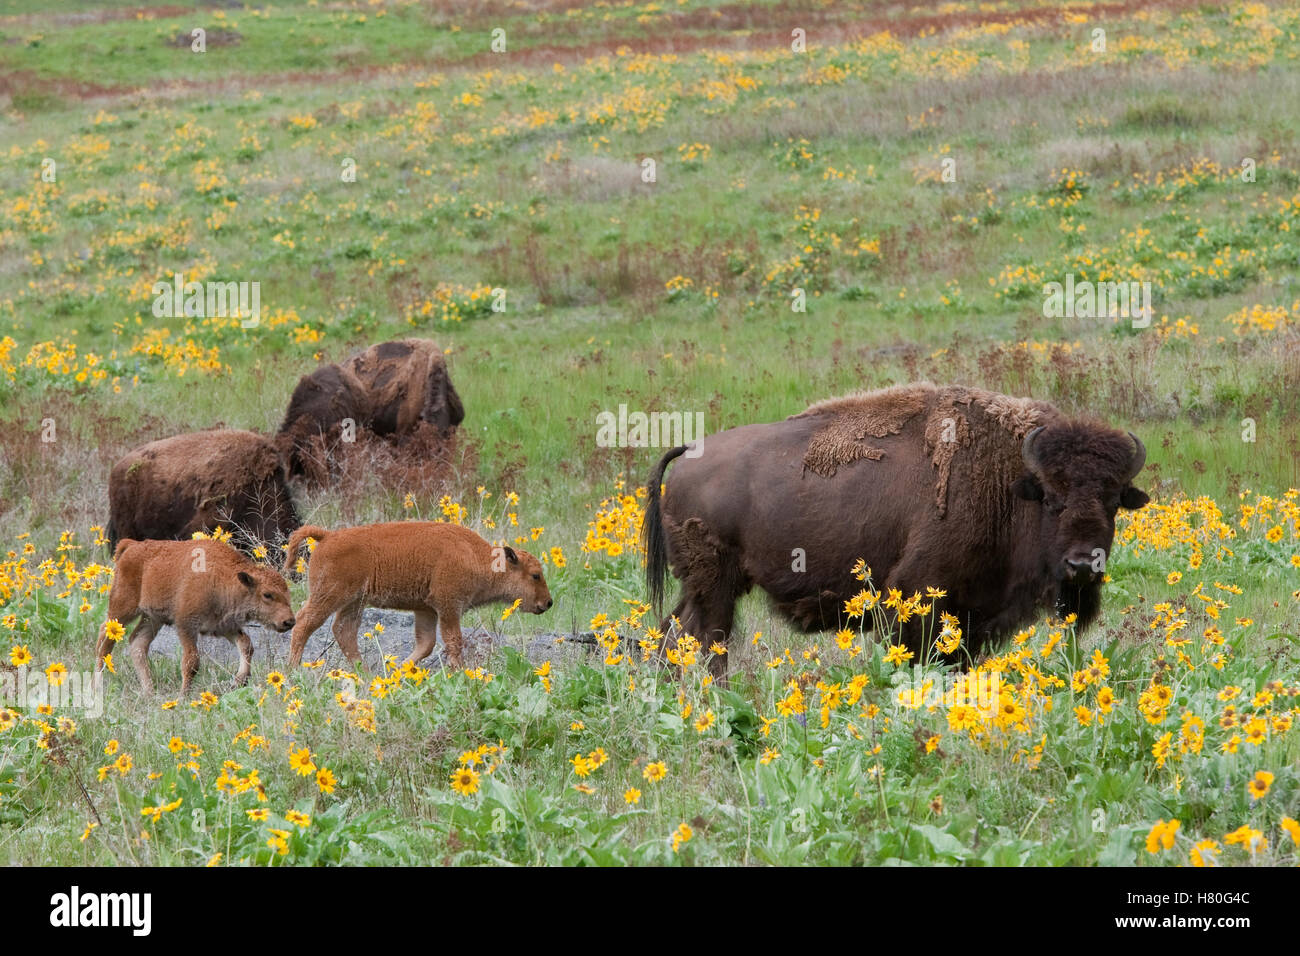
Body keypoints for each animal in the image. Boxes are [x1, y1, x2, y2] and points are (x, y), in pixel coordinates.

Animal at [96, 538, 296, 695]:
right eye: (267, 594)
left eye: (287, 593)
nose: (289, 621)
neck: (222, 577)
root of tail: (132, 545)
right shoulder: (186, 625)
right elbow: (192, 661)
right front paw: (183, 696)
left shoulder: (225, 626)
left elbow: (246, 646)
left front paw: (239, 681)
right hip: (123, 609)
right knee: (105, 637)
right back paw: (97, 681)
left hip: (152, 618)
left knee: (137, 643)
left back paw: (149, 692)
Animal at [282, 521, 551, 670]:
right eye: (535, 575)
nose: (548, 602)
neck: (477, 556)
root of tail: (328, 536)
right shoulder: (448, 608)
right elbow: (453, 642)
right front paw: (461, 673)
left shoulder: (426, 610)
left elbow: (426, 644)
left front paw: (400, 669)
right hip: (330, 596)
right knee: (305, 623)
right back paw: (293, 669)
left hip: (354, 602)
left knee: (344, 630)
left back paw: (365, 673)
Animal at [643, 382, 1150, 678]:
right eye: (1050, 497)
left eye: (1114, 501)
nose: (1082, 564)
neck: (1007, 482)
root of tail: (688, 452)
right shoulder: (920, 599)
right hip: (716, 587)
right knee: (707, 641)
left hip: (704, 586)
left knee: (673, 633)